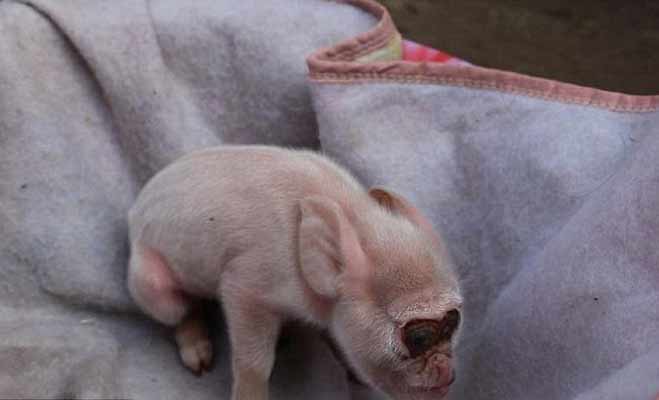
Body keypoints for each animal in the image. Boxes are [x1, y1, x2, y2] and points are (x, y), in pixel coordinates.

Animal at [127, 145, 463, 400]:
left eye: (452, 322)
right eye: (419, 337)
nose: (447, 372)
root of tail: (134, 212)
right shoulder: (244, 281)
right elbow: (254, 363)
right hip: (148, 281)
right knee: (179, 310)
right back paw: (200, 365)